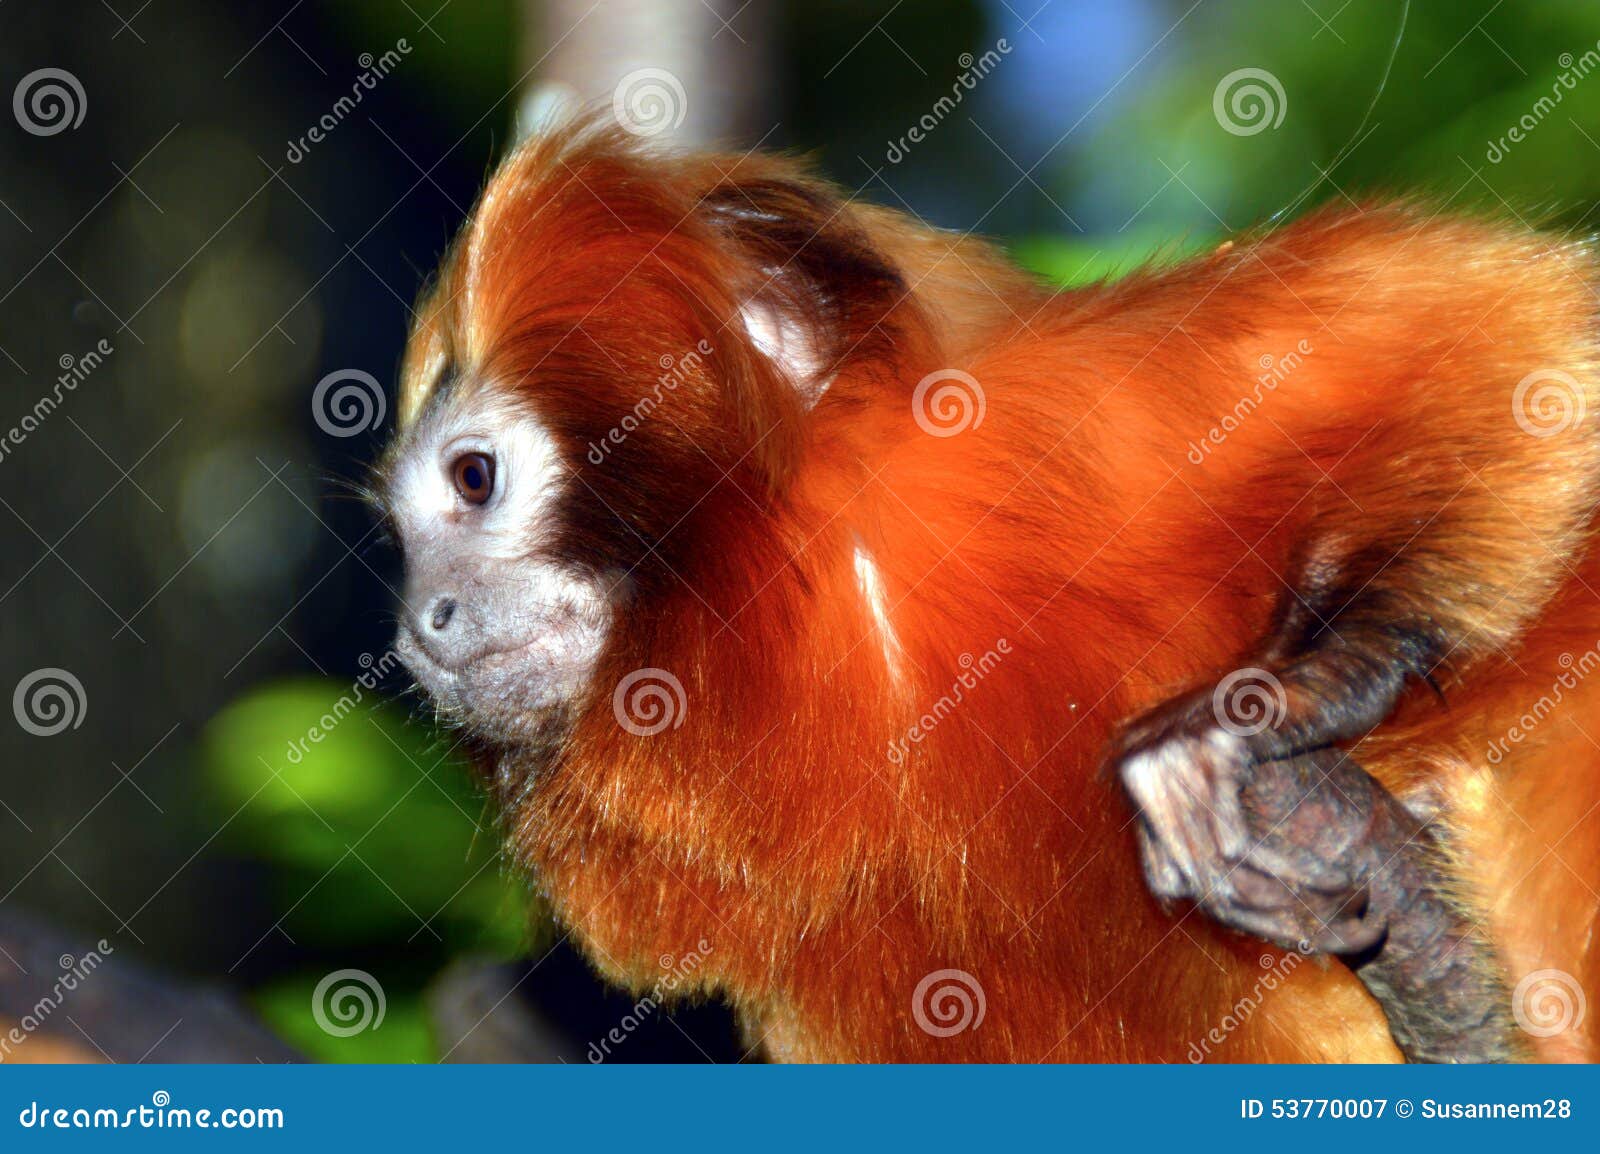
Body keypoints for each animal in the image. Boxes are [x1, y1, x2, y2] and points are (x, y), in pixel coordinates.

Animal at [378, 113, 1600, 1063]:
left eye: (475, 478)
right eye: (405, 540)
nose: (421, 624)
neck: (866, 652)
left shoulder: (1061, 427)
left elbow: (1513, 335)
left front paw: (1302, 692)